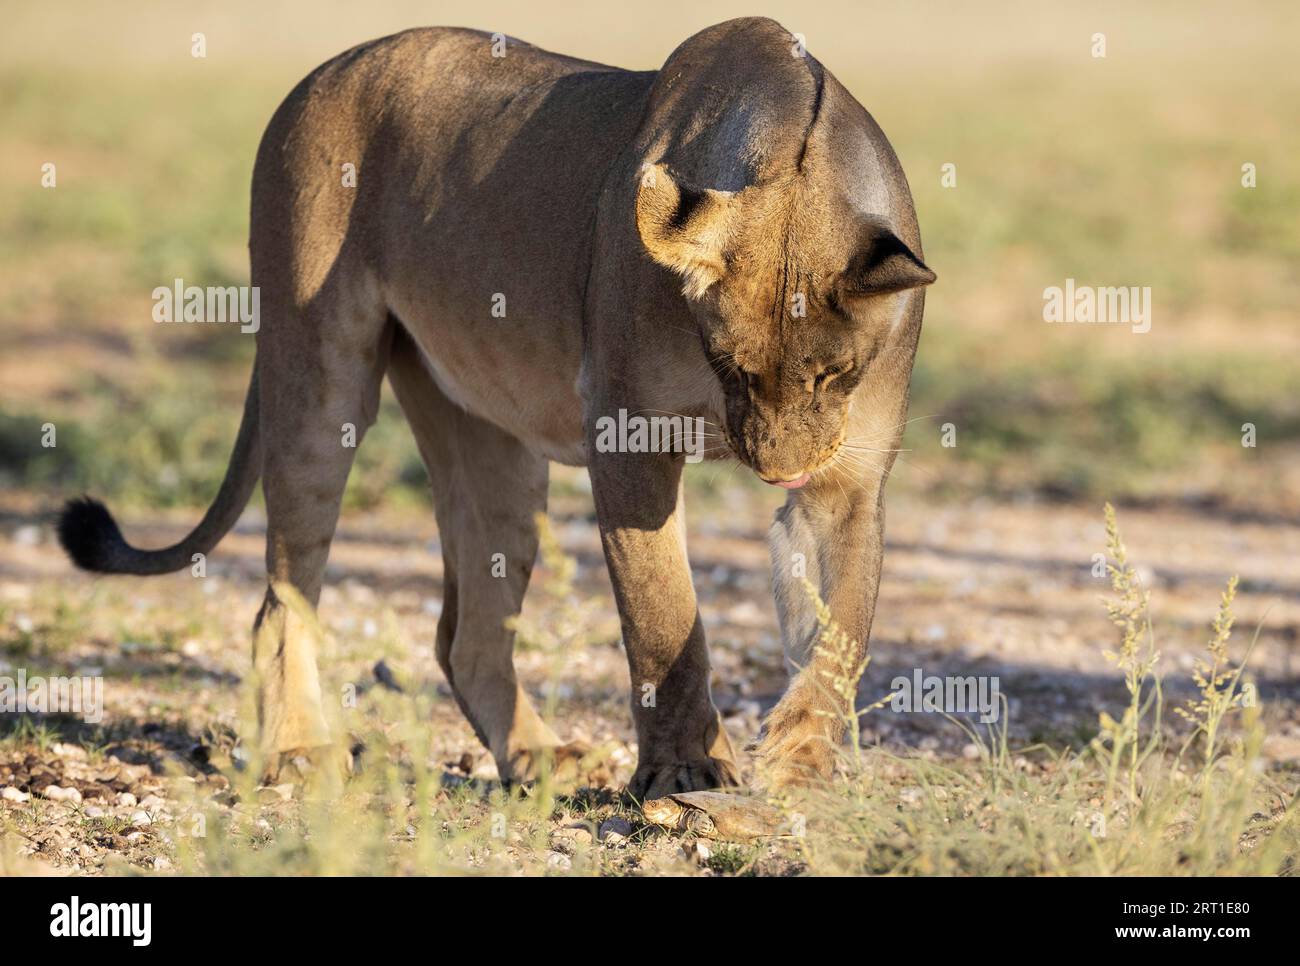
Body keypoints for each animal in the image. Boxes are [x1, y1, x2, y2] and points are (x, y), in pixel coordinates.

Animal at [57, 18, 934, 799]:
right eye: (730, 365)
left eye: (835, 373)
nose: (777, 472)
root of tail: (328, 67)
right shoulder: (628, 438)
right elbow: (663, 616)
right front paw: (687, 771)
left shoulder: (850, 482)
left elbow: (843, 633)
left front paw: (802, 760)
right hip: (317, 382)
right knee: (282, 599)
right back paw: (302, 752)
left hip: (493, 452)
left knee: (465, 635)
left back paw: (543, 761)